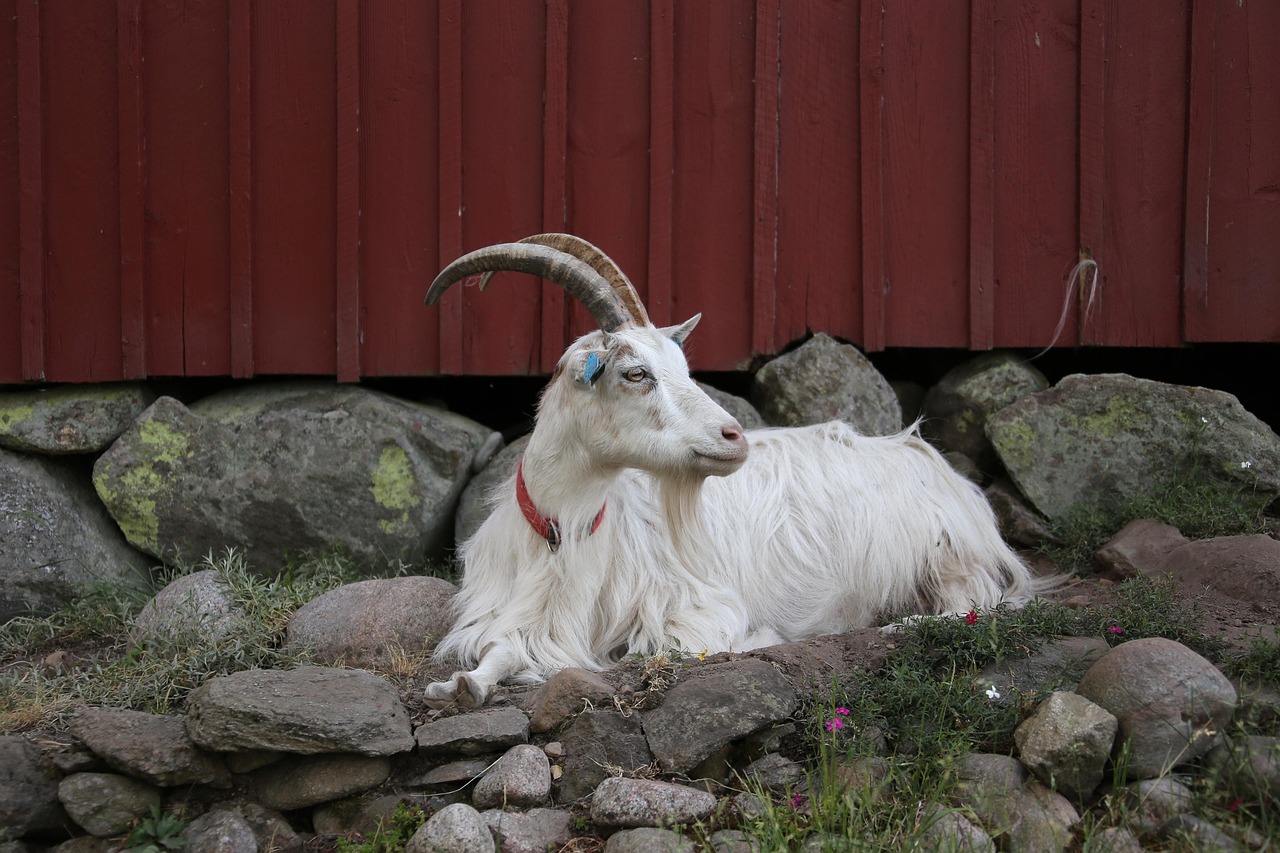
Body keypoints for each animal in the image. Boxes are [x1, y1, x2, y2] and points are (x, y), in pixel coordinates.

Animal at [423, 234, 1050, 708]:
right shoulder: (521, 610)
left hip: (947, 559)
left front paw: (758, 639)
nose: (733, 437)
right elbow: (501, 648)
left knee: (970, 607)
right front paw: (460, 686)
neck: (563, 531)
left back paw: (894, 624)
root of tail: (943, 472)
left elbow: (668, 648)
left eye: (682, 366)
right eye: (634, 373)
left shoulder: (697, 608)